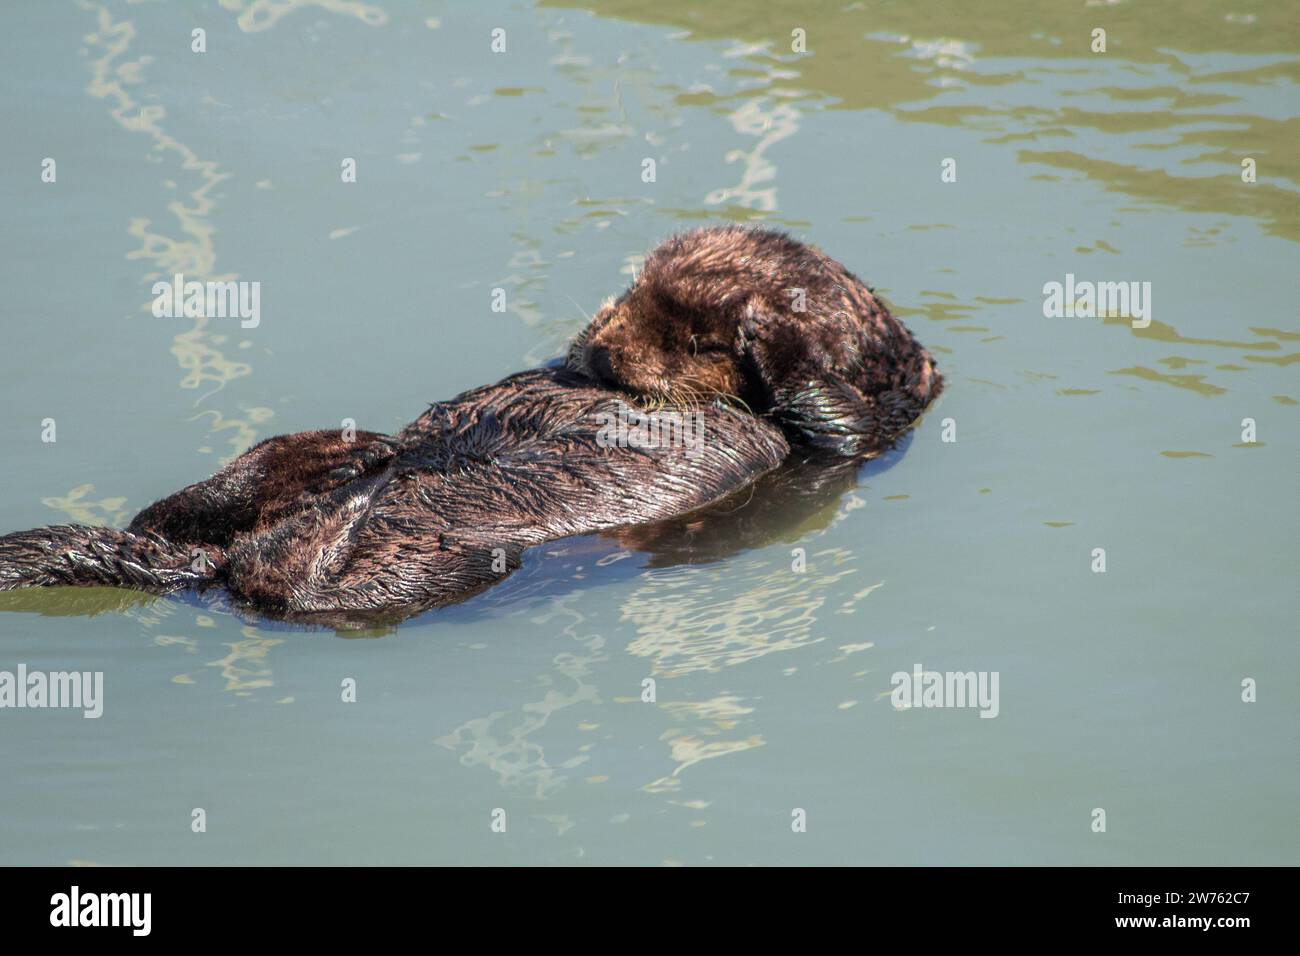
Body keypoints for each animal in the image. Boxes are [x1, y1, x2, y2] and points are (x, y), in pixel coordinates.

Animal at [0, 227, 941, 622]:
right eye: (636, 288)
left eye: (697, 341)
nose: (606, 344)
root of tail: (213, 571)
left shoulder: (852, 439)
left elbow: (831, 418)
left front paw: (768, 325)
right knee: (166, 518)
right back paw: (344, 454)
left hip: (443, 570)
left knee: (298, 589)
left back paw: (349, 490)